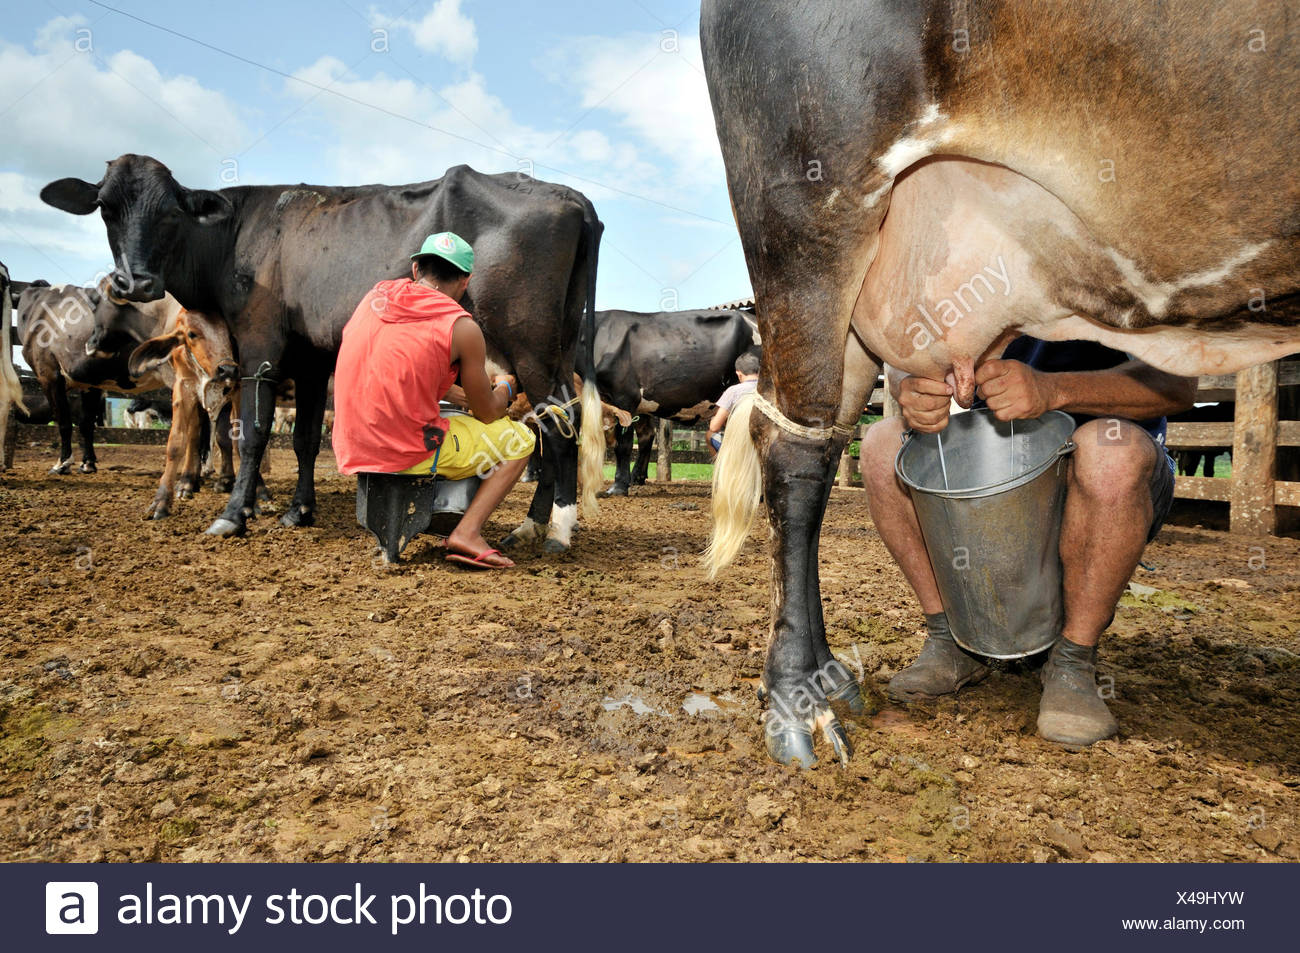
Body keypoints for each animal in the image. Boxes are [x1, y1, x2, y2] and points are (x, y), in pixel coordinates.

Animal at [41, 156, 605, 553]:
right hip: (555, 344)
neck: (233, 239)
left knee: (557, 429)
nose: (135, 282)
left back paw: (555, 530)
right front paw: (298, 511)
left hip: (528, 342)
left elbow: (253, 433)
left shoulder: (260, 348)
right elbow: (306, 439)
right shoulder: (311, 360)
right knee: (557, 420)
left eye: (171, 210)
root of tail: (572, 197)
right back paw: (531, 527)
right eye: (106, 208)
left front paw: (233, 514)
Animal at [580, 308, 757, 494]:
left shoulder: (625, 398)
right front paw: (636, 478)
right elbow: (645, 436)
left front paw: (618, 486)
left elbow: (623, 444)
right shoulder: (639, 404)